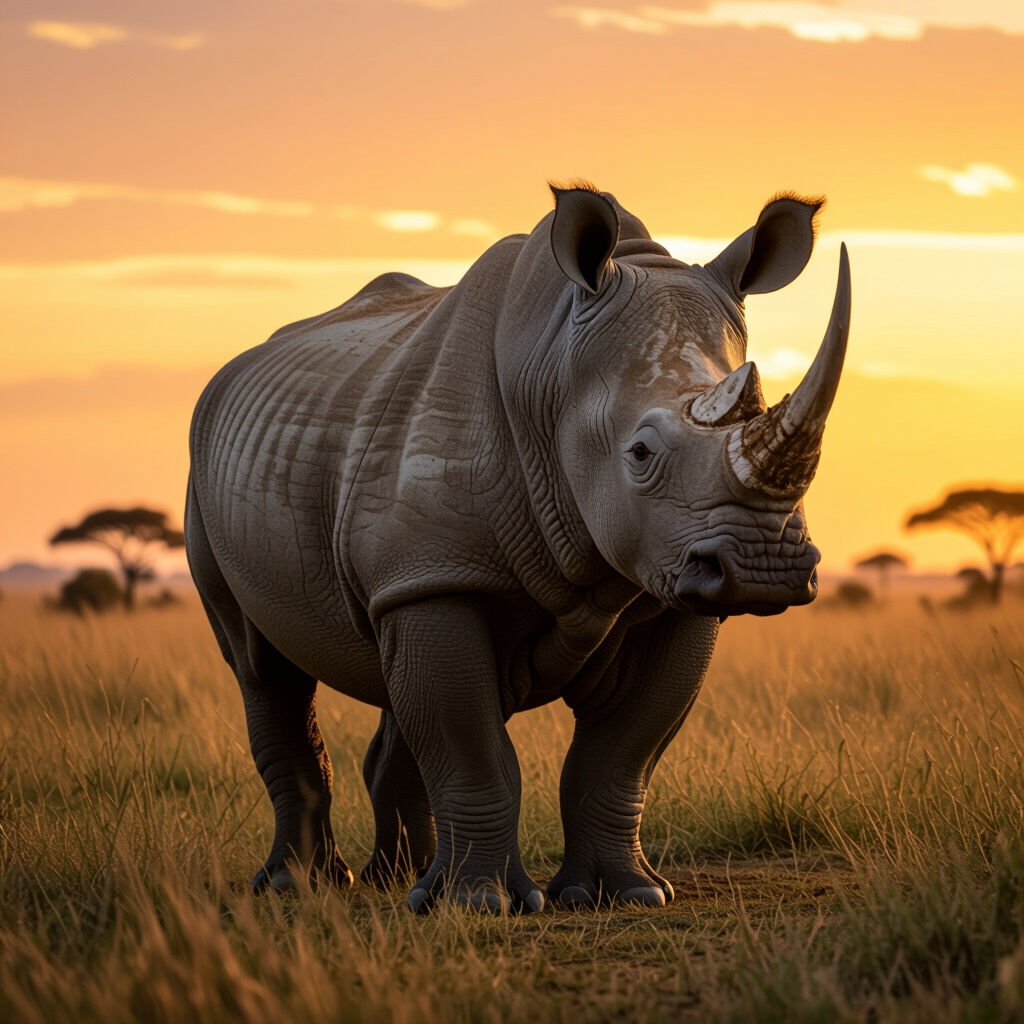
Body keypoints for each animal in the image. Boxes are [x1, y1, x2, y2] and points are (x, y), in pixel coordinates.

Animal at [185, 182, 850, 913]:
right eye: (641, 454)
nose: (763, 570)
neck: (556, 372)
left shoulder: (664, 584)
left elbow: (622, 754)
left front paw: (624, 895)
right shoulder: (441, 574)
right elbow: (470, 746)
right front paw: (479, 905)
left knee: (391, 676)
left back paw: (401, 879)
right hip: (205, 481)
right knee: (260, 666)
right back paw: (299, 886)